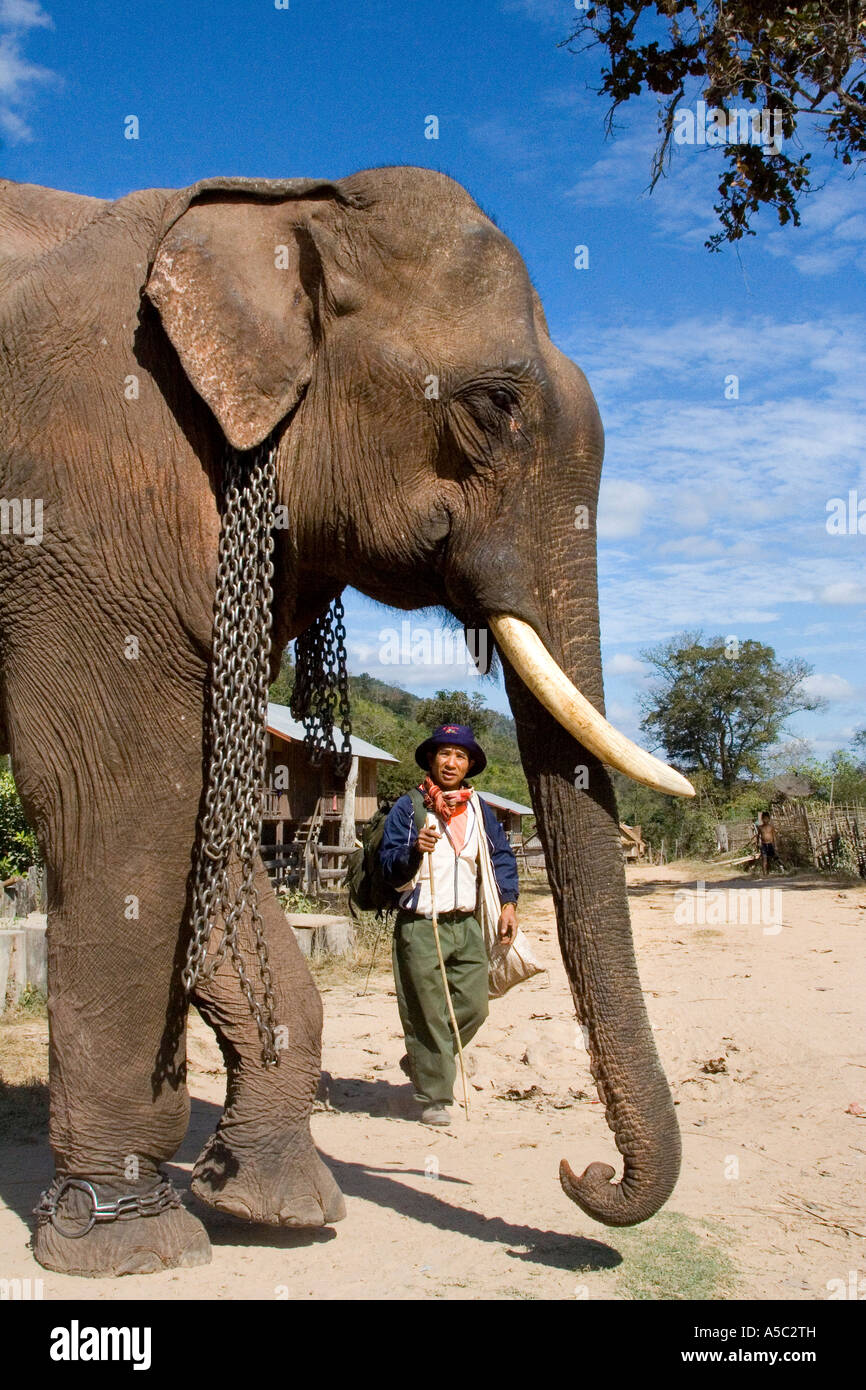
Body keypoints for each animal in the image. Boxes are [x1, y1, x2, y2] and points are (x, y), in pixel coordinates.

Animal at [0, 166, 694, 1277]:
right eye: (490, 407)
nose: (581, 1175)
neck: (284, 210)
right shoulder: (85, 493)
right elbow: (121, 799)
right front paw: (135, 1244)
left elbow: (207, 812)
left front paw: (274, 1209)